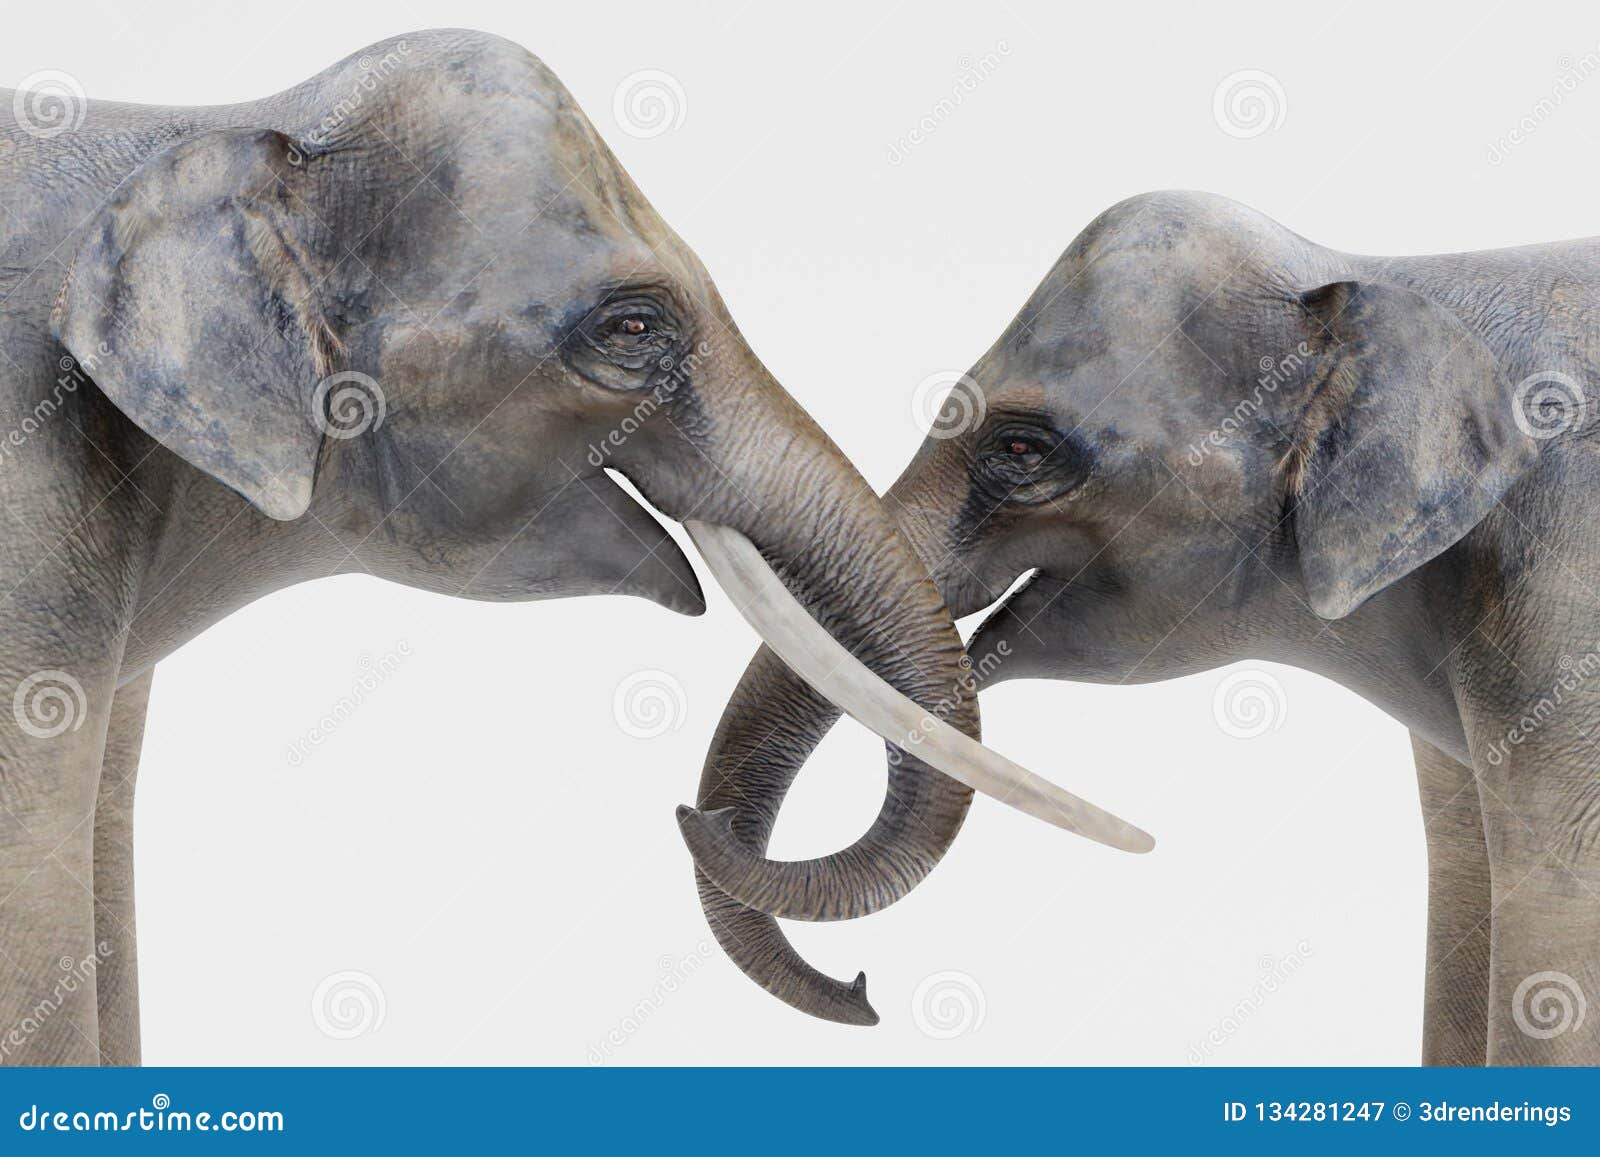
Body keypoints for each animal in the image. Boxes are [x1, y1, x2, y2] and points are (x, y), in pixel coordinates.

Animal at [682, 189, 1600, 1065]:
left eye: (1020, 447)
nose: (866, 987)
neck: (1385, 274)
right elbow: (1466, 888)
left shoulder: (1562, 607)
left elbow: (1554, 954)